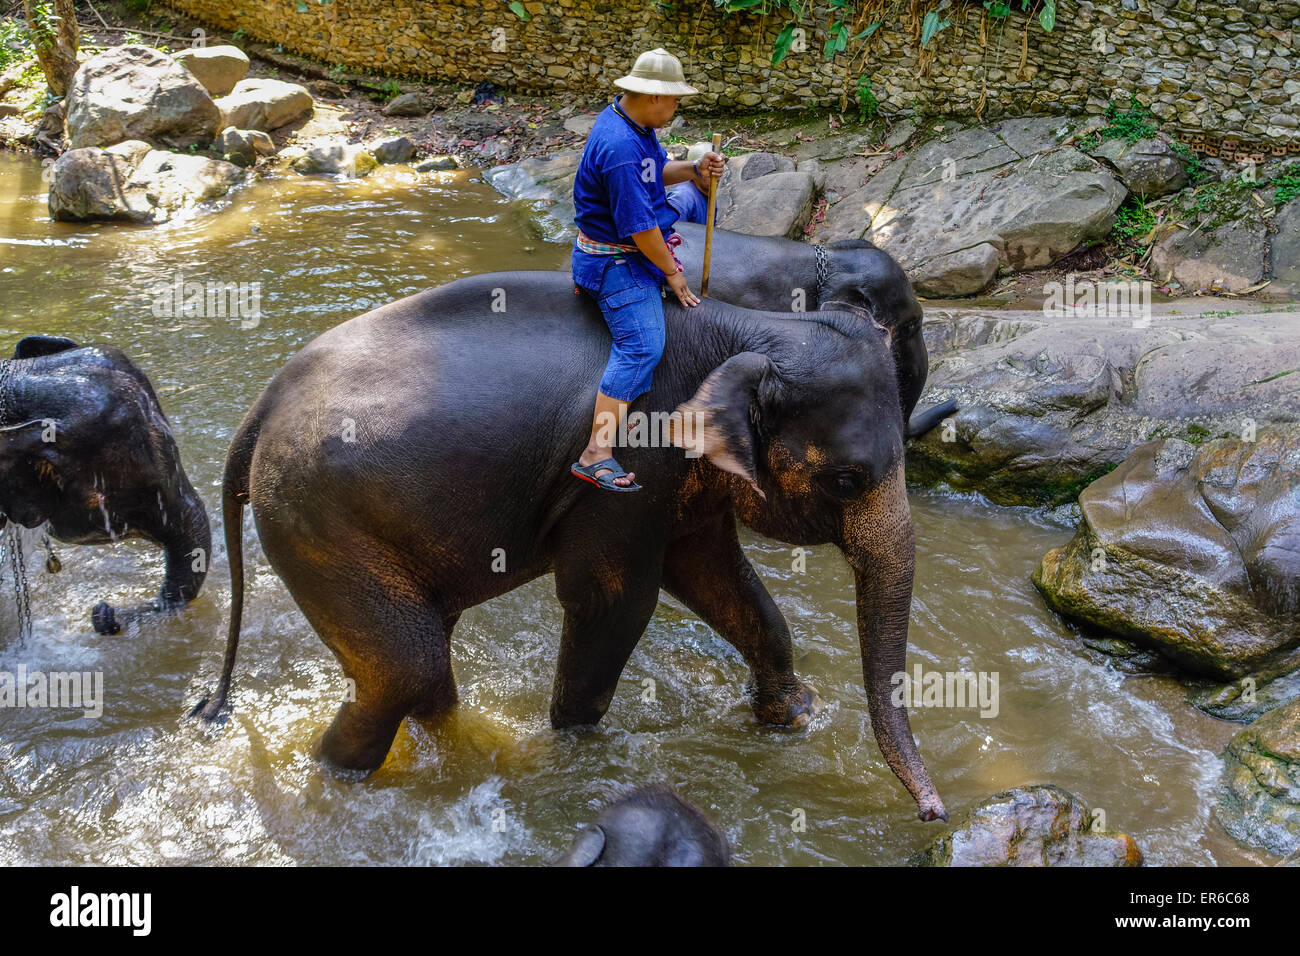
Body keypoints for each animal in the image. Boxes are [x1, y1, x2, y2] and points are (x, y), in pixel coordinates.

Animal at [195, 271, 948, 823]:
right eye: (849, 480)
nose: (933, 813)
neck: (744, 329)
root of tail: (256, 416)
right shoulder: (625, 465)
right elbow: (616, 599)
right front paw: (575, 753)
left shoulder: (677, 478)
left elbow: (713, 575)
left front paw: (793, 718)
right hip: (316, 524)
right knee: (405, 669)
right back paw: (339, 782)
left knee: (424, 667)